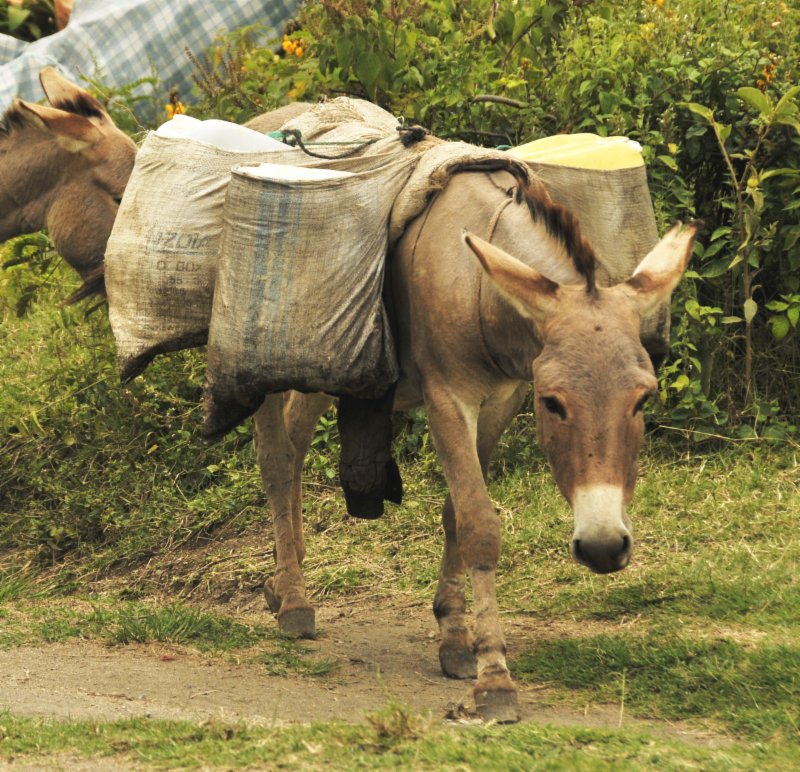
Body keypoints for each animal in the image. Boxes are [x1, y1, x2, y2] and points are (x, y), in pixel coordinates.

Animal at [247, 169, 700, 723]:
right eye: (553, 402)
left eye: (643, 398)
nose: (603, 546)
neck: (476, 283)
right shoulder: (447, 397)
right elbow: (479, 524)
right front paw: (494, 678)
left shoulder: (500, 401)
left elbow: (455, 514)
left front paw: (455, 635)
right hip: (284, 358)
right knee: (277, 457)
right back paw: (293, 599)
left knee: (292, 441)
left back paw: (281, 578)